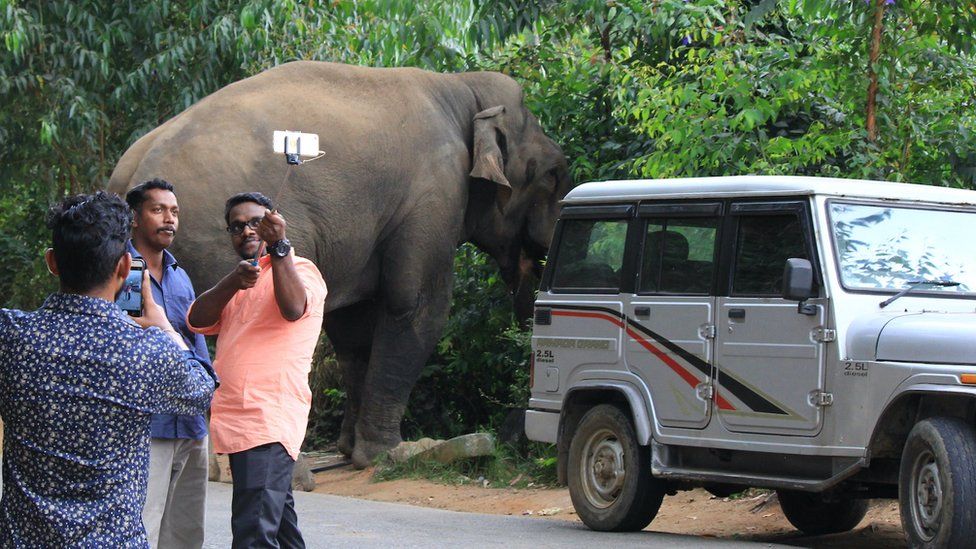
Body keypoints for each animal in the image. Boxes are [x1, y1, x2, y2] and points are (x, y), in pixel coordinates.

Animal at [107, 61, 572, 468]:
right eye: (553, 175)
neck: (461, 89)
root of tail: (128, 180)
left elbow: (352, 327)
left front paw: (351, 452)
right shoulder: (434, 194)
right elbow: (416, 306)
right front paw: (391, 454)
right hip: (212, 240)